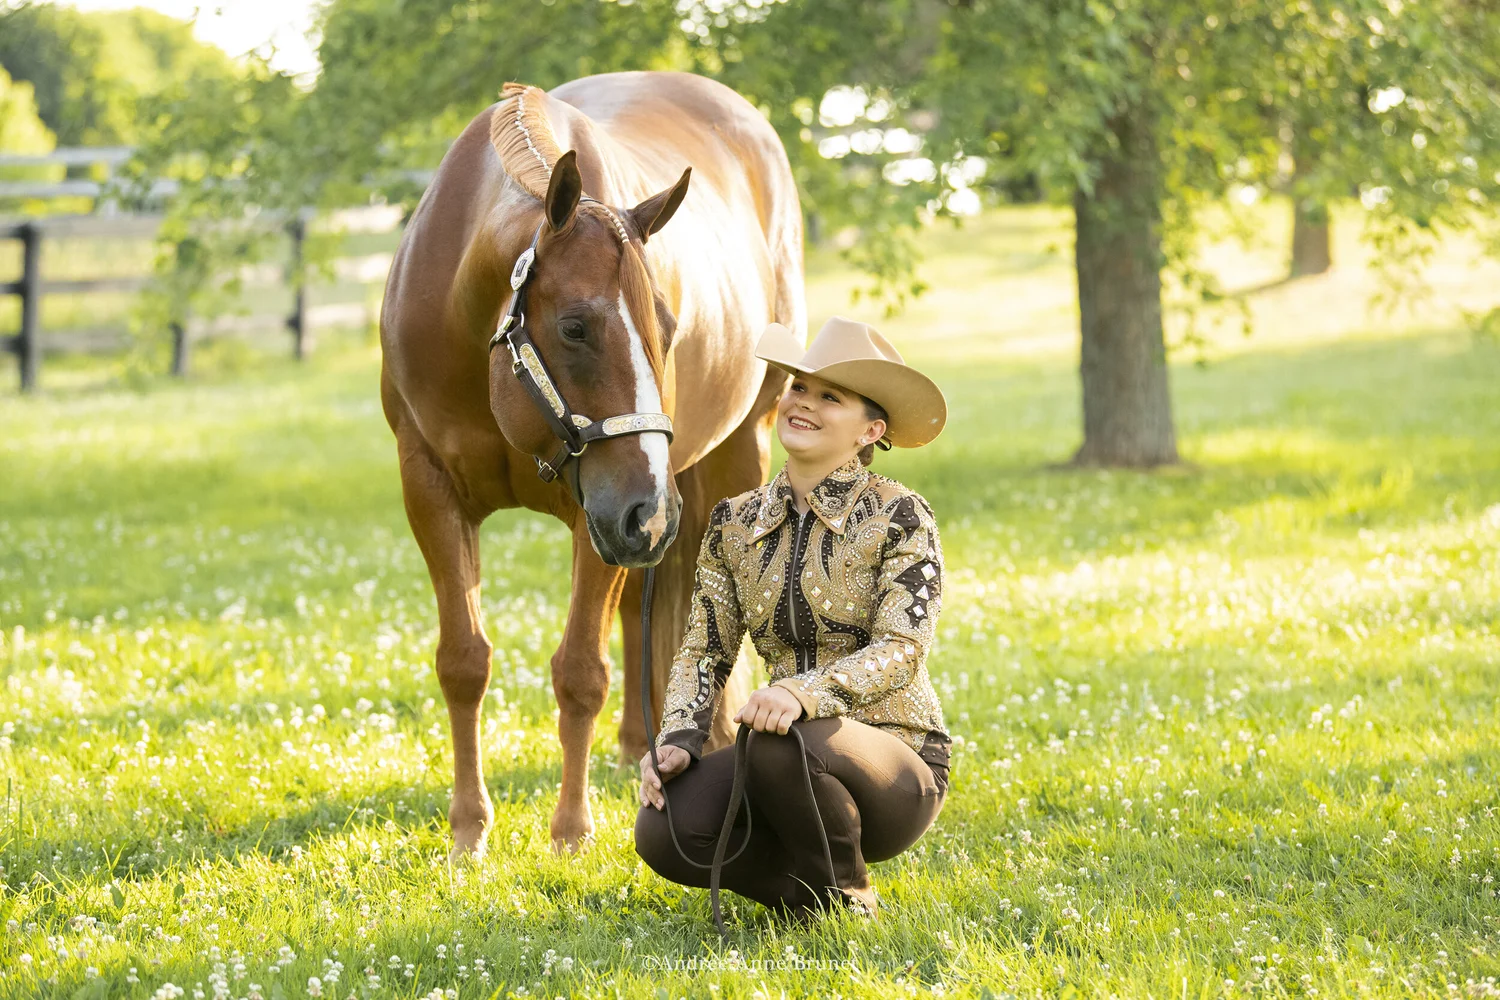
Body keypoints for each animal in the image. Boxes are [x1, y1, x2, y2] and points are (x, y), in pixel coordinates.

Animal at [379, 71, 806, 856]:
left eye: (668, 327)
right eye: (575, 327)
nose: (650, 511)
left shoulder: (601, 511)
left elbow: (580, 670)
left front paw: (570, 832)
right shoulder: (429, 490)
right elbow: (463, 661)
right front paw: (468, 830)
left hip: (728, 458)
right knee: (642, 606)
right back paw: (640, 747)